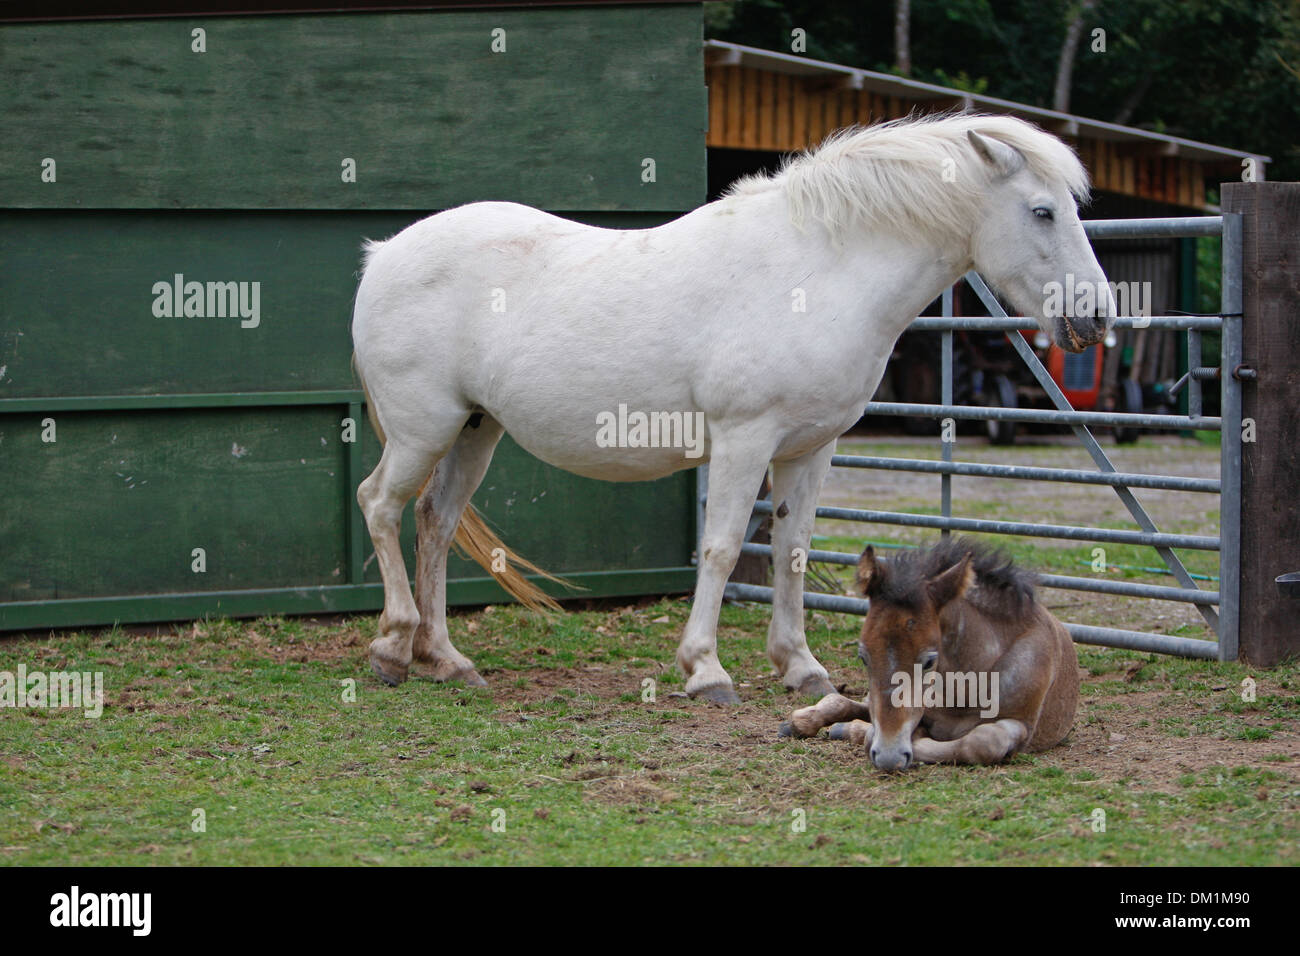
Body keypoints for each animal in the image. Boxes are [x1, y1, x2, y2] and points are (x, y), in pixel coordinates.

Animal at [349, 112, 1114, 703]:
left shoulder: (810, 448)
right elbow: (719, 549)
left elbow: (794, 549)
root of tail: (383, 254)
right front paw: (706, 670)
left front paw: (801, 667)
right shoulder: (746, 440)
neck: (817, 272)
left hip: (475, 429)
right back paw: (392, 648)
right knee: (381, 504)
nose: (1098, 317)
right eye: (1043, 211)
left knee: (436, 521)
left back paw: (446, 660)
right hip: (424, 429)